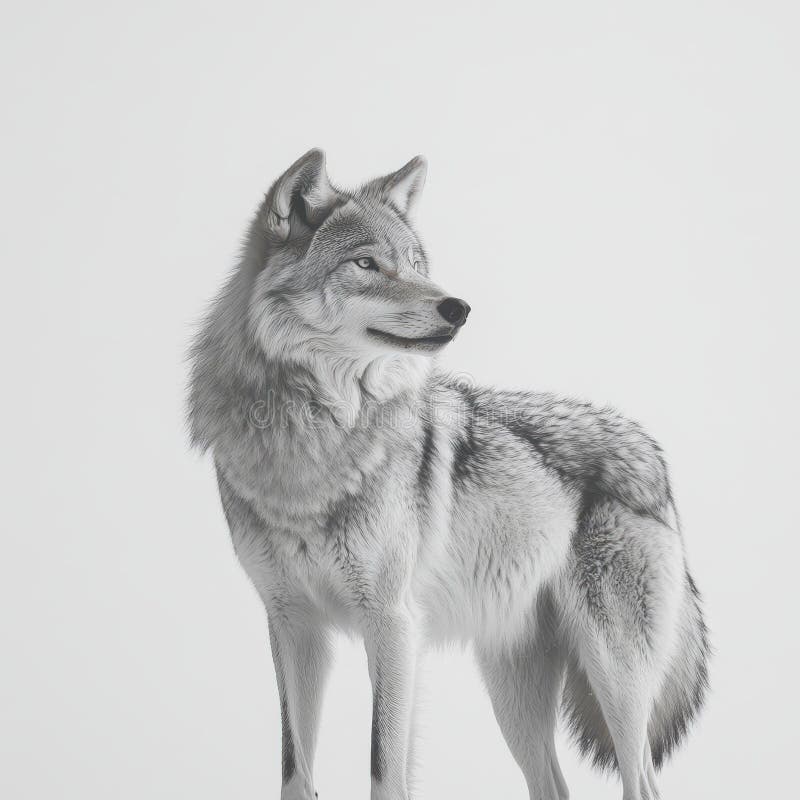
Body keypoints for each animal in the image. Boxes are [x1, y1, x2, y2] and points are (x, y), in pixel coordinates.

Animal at [188, 149, 709, 800]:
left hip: (616, 677)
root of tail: (651, 451)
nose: (457, 307)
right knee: (555, 786)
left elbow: (383, 769)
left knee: (643, 783)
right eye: (366, 263)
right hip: (513, 695)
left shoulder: (391, 623)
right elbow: (294, 771)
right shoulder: (292, 626)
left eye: (416, 265)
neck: (307, 439)